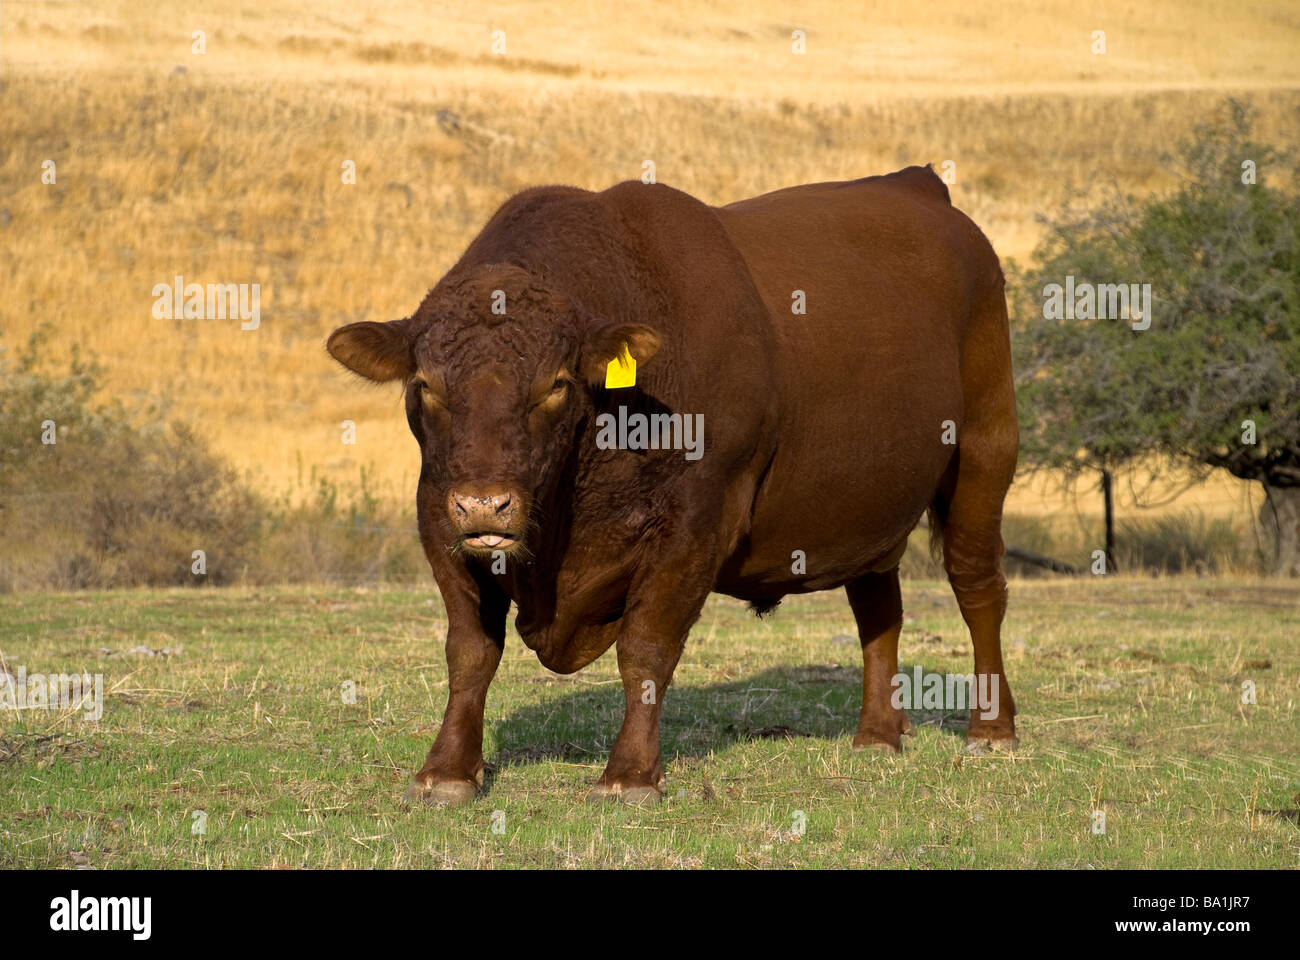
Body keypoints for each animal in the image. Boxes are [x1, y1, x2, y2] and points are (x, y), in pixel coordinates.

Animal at [326, 165, 1019, 806]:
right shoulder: (436, 516)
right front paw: (447, 770)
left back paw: (992, 729)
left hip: (985, 450)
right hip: (867, 504)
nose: (485, 505)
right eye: (425, 384)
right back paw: (877, 734)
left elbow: (647, 647)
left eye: (555, 383)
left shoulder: (695, 523)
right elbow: (470, 650)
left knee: (978, 586)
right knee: (878, 605)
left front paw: (630, 774)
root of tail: (916, 184)